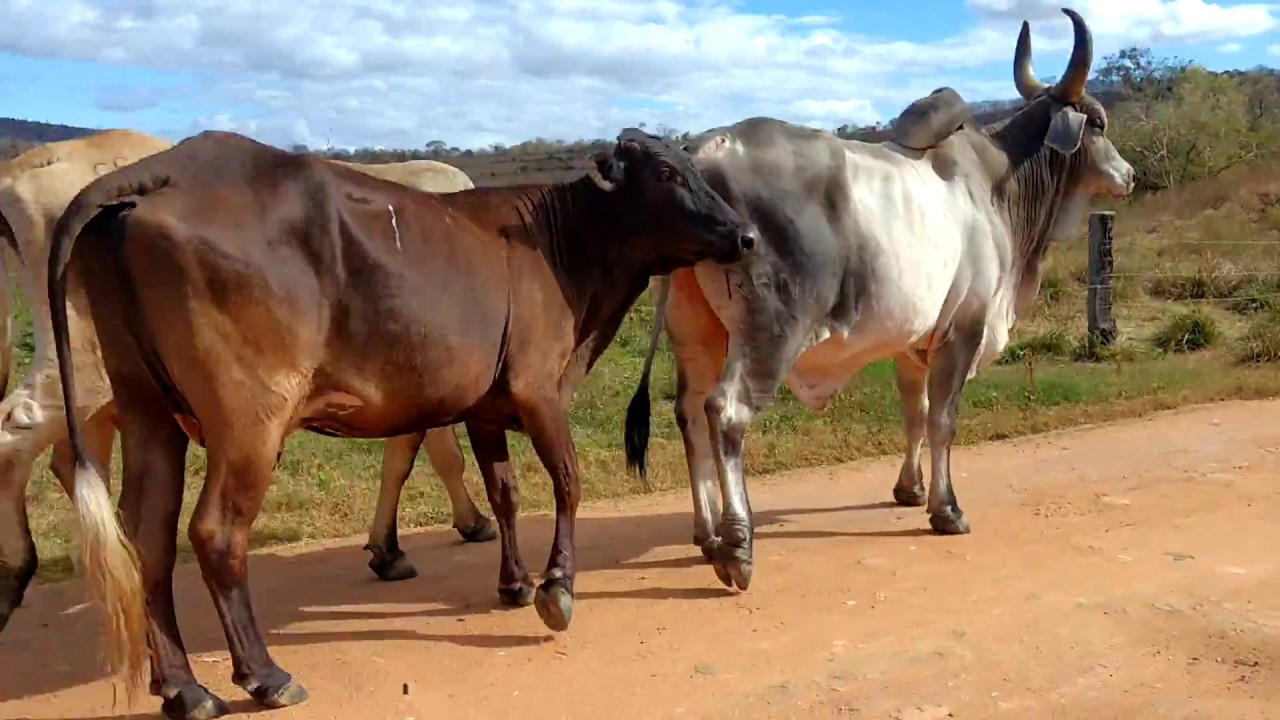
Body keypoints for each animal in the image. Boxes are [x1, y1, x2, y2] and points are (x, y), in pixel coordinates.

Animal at [0, 136, 500, 634]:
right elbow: (433, 455)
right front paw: (461, 525)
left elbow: (414, 455)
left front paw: (392, 547)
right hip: (89, 367)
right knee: (16, 430)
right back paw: (17, 570)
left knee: (73, 462)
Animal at [623, 8, 1135, 592]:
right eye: (1099, 123)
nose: (1128, 175)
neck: (998, 185)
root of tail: (702, 152)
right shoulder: (964, 329)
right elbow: (943, 420)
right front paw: (946, 509)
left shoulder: (913, 339)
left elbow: (914, 414)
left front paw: (909, 490)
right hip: (769, 332)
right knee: (725, 414)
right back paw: (735, 548)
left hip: (696, 331)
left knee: (688, 413)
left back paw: (706, 535)